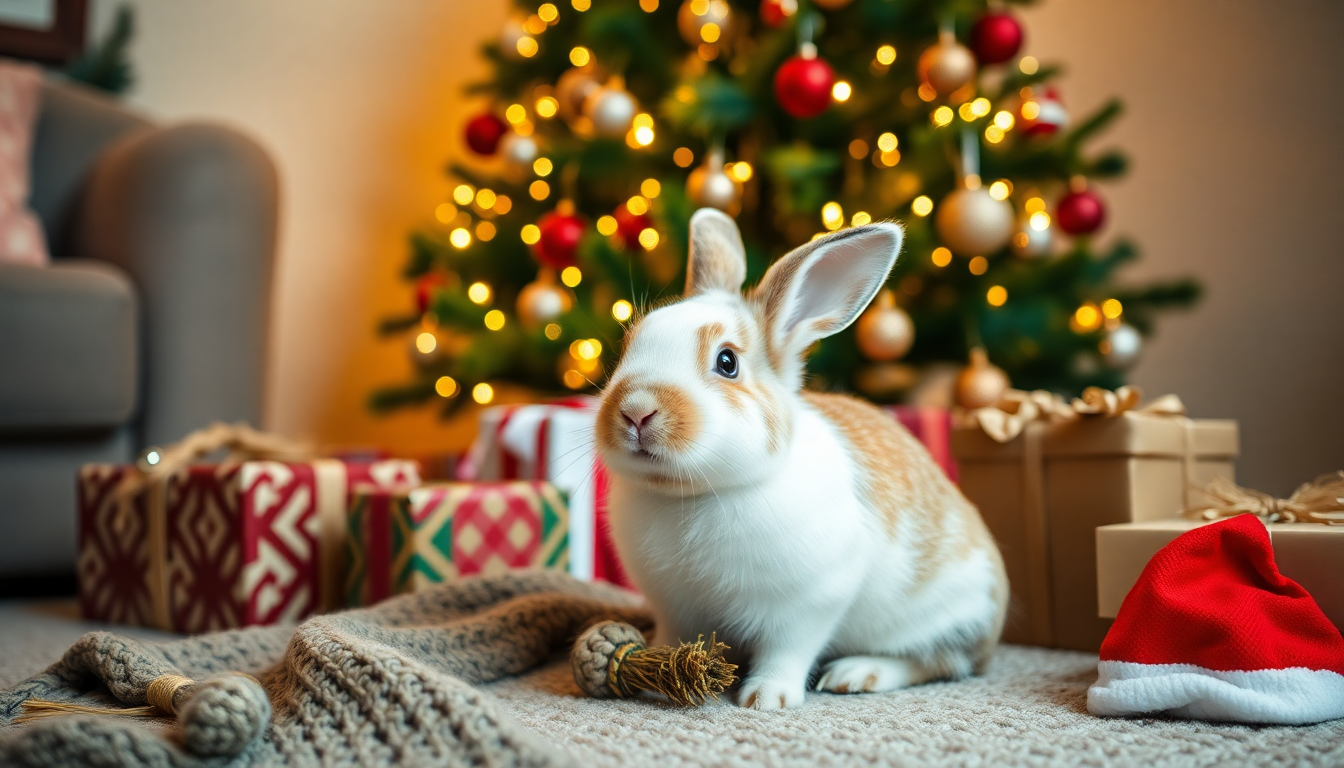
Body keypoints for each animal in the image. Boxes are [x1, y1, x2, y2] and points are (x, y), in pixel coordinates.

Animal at [595, 208, 1008, 710]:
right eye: (626, 348)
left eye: (727, 362)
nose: (636, 410)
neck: (691, 494)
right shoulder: (675, 607)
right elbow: (675, 639)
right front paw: (656, 670)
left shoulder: (807, 604)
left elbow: (786, 650)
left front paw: (766, 698)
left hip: (947, 619)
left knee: (942, 662)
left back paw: (856, 674)